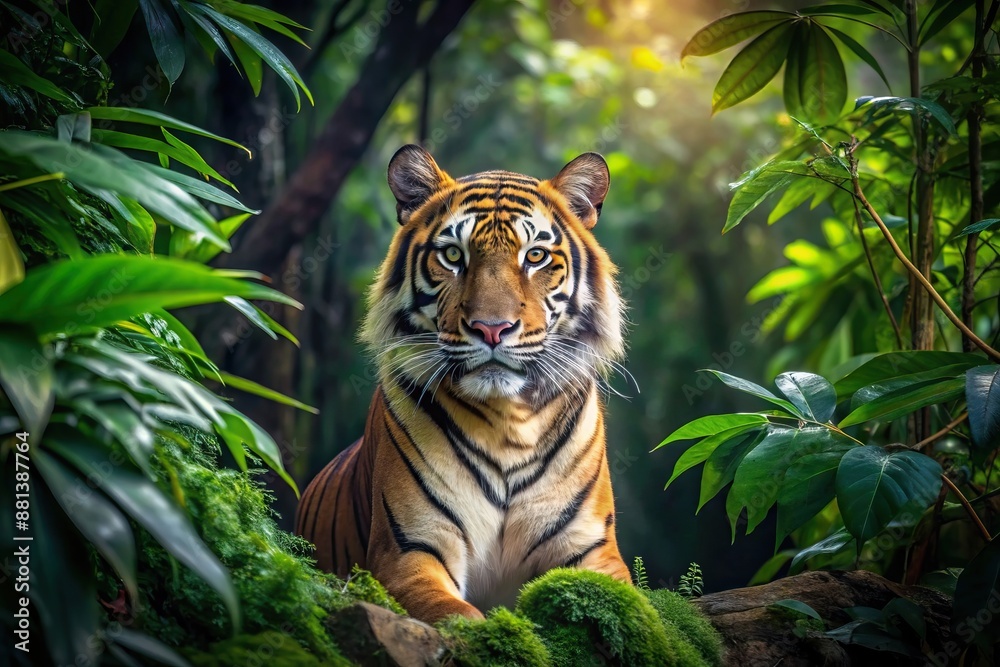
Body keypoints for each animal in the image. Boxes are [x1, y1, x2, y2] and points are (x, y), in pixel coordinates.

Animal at [295, 144, 631, 624]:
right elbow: (462, 621)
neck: (510, 422)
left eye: (535, 256)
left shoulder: (592, 550)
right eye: (453, 255)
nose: (492, 328)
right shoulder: (411, 548)